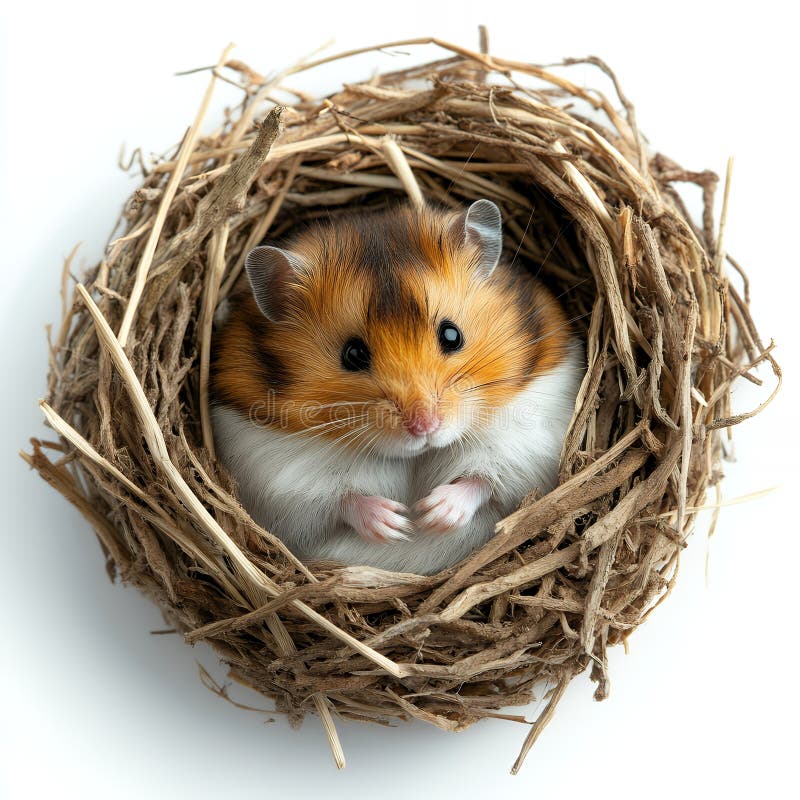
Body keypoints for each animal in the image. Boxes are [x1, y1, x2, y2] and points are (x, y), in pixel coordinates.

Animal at [211, 199, 584, 576]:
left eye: (452, 335)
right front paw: (397, 524)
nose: (425, 426)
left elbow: (482, 481)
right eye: (353, 354)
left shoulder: (528, 443)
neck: (416, 455)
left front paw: (433, 514)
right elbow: (341, 499)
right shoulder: (280, 479)